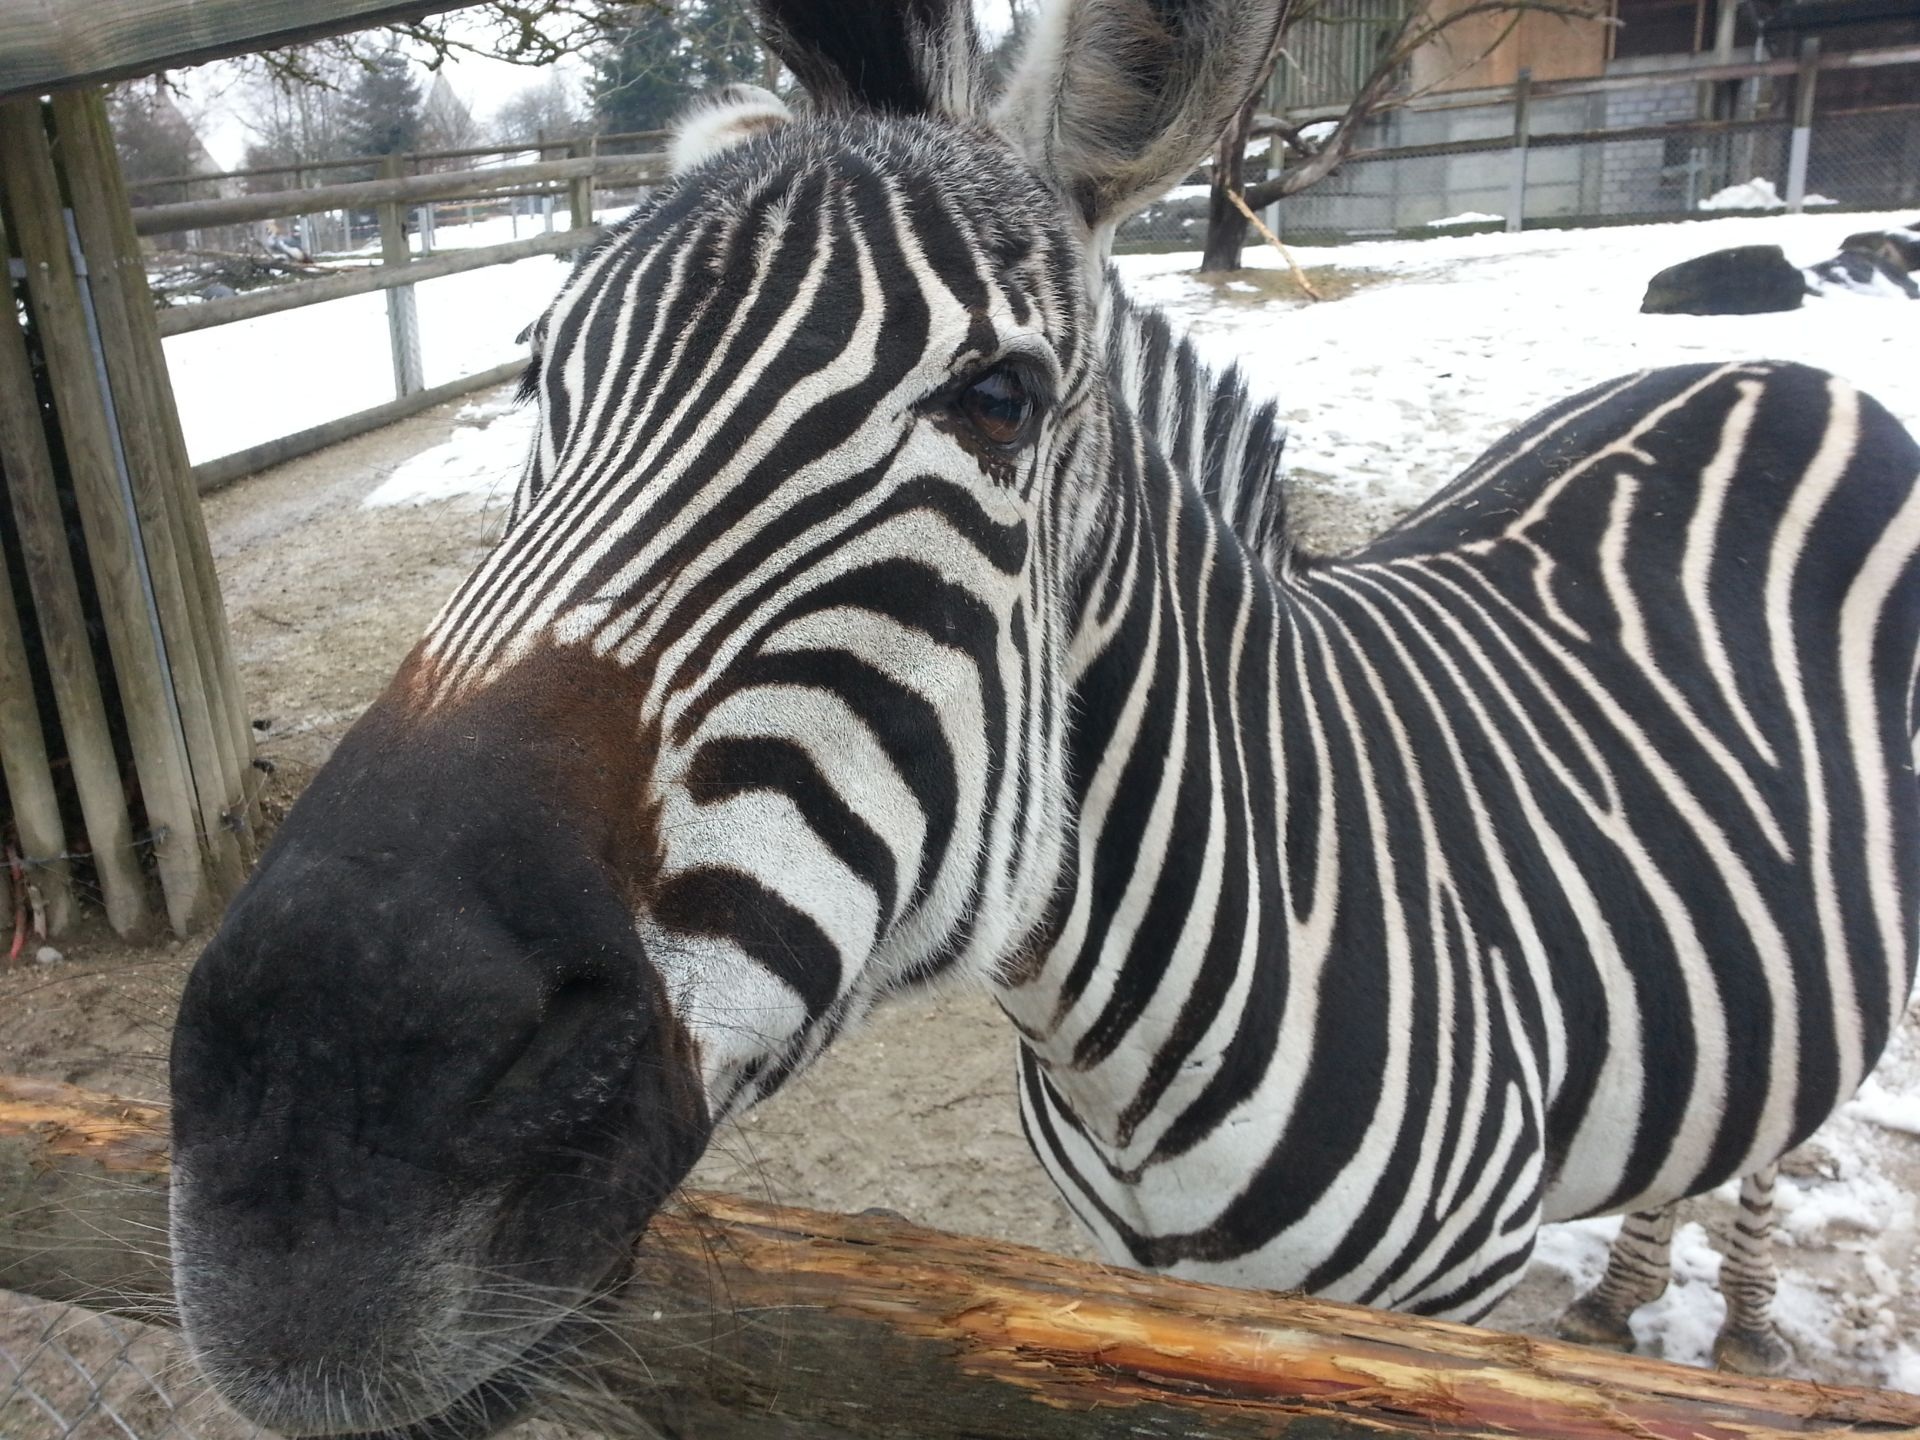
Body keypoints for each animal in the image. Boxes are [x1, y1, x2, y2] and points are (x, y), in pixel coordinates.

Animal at [167, 0, 1920, 1432]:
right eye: (538, 377)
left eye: (998, 403)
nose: (299, 1135)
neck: (1124, 1047)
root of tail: (1775, 371)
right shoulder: (1146, 1299)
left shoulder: (1446, 1308)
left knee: (1783, 1137)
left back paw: (1735, 1321)